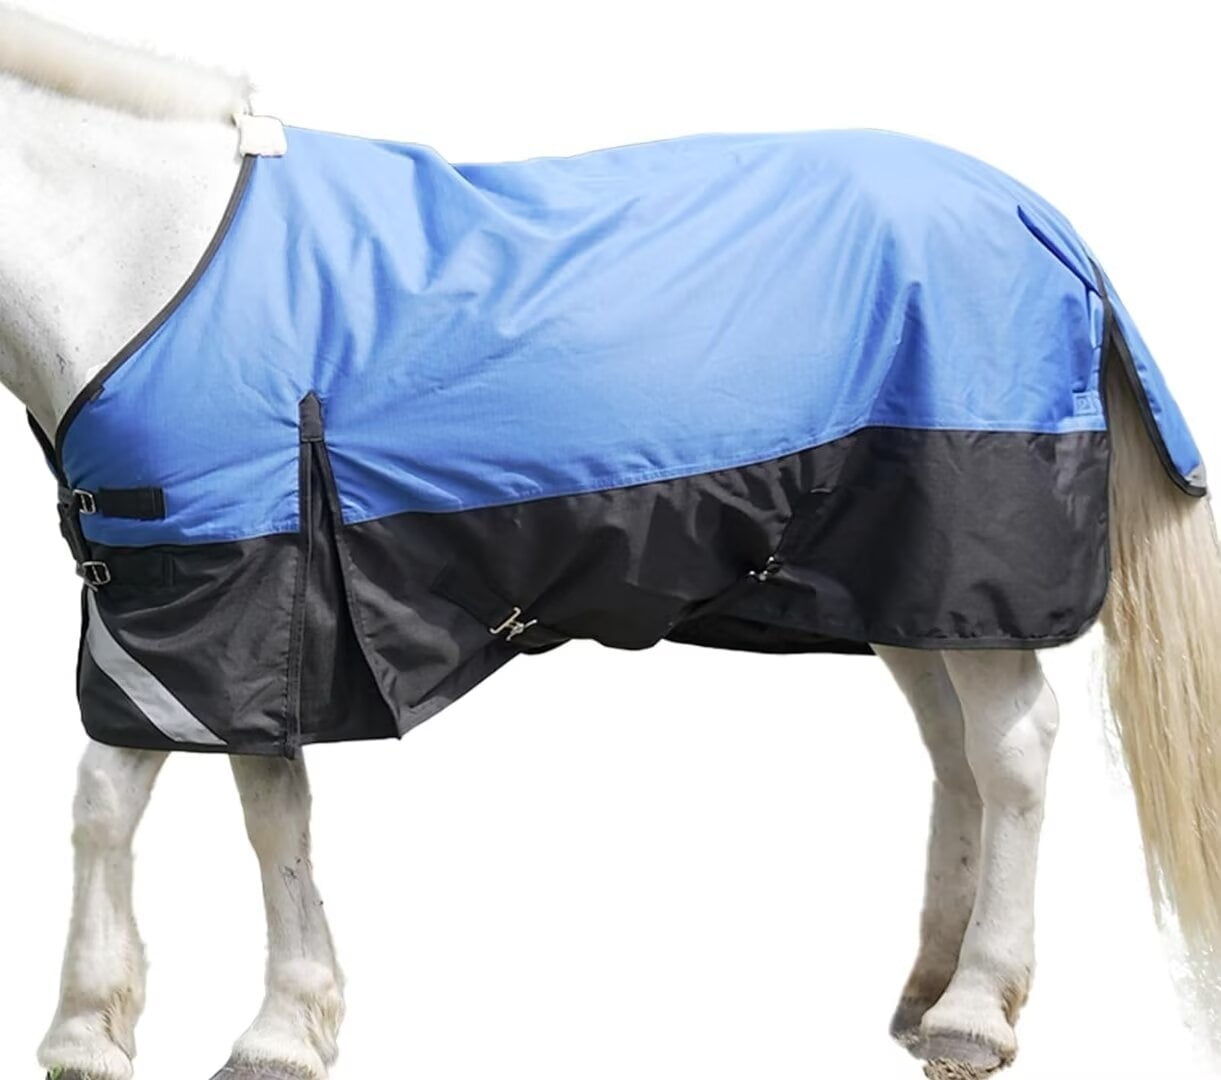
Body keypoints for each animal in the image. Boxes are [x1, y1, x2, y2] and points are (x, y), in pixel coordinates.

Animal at [2, 8, 1219, 1080]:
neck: (150, 256)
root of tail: (1031, 209)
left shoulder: (221, 585)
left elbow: (131, 798)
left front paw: (130, 1034)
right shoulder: (221, 601)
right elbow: (231, 810)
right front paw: (235, 1029)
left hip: (971, 562)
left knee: (1014, 751)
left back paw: (973, 1013)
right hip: (910, 591)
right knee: (954, 752)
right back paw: (925, 991)